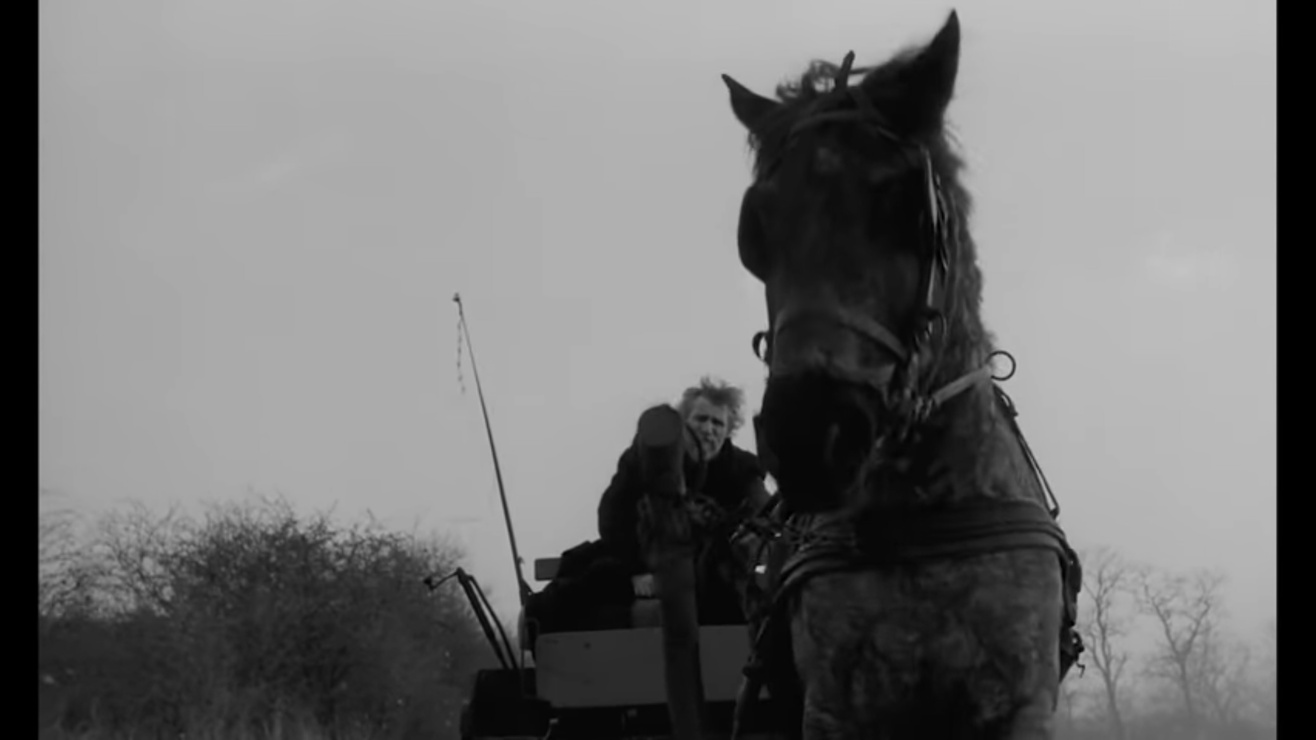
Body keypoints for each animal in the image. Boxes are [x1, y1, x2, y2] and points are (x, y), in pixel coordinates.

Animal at [718, 10, 1082, 739]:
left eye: (905, 208)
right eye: (756, 228)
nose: (808, 436)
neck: (919, 523)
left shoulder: (1022, 703)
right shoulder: (833, 710)